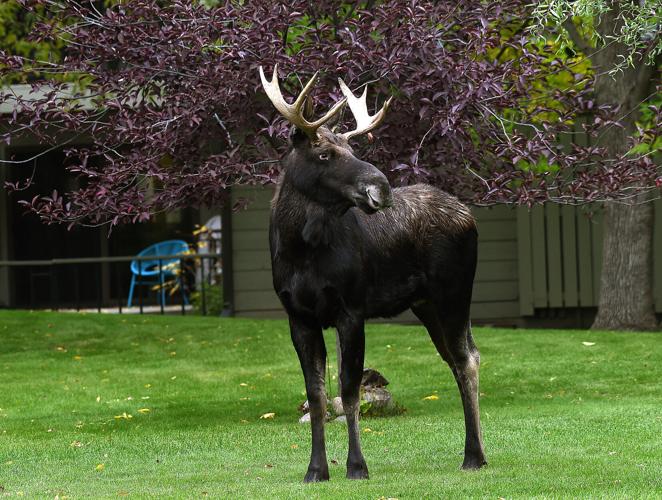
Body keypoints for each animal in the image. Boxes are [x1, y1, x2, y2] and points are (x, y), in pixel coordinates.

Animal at [259, 65, 486, 482]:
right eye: (324, 153)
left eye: (354, 151)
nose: (380, 187)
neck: (301, 250)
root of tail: (469, 215)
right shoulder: (299, 316)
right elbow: (316, 394)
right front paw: (316, 470)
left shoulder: (351, 310)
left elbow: (349, 390)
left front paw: (356, 466)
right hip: (426, 304)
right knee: (458, 358)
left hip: (454, 293)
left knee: (467, 360)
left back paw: (474, 455)